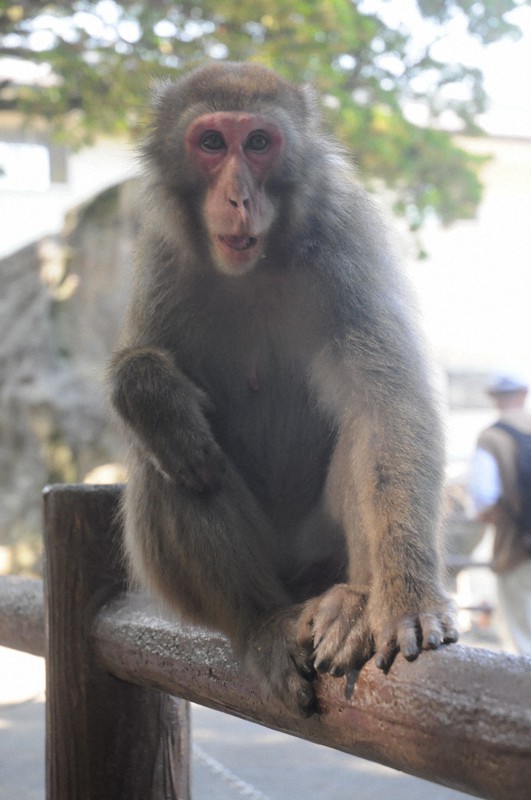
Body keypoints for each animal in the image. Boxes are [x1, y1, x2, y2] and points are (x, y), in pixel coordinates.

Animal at [109, 61, 458, 718]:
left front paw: (408, 596)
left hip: (323, 551)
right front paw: (149, 392)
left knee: (361, 435)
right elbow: (142, 371)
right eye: (212, 142)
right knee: (172, 460)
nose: (239, 197)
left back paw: (353, 604)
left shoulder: (347, 237)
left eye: (259, 143)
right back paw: (261, 622)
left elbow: (385, 409)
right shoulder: (161, 252)